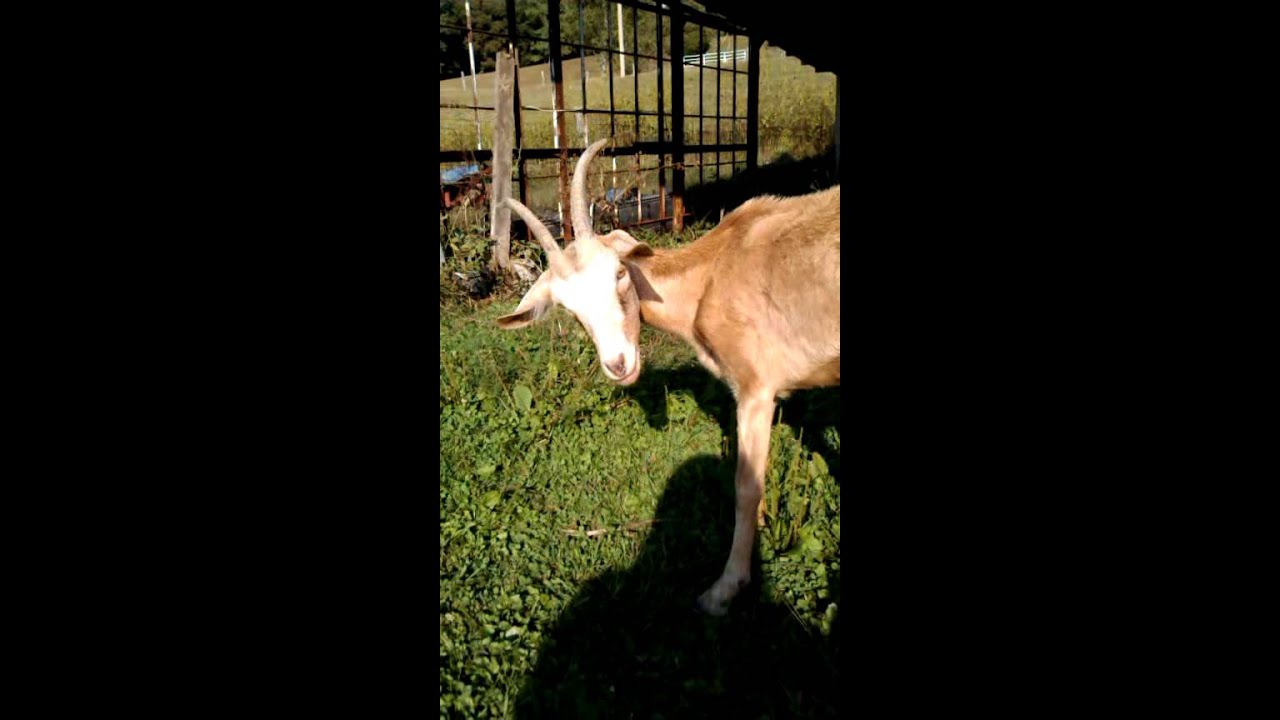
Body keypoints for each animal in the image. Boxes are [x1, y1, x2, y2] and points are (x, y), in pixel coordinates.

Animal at [498, 138, 839, 616]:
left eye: (619, 273)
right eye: (567, 307)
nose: (618, 363)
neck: (710, 274)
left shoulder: (756, 388)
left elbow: (745, 486)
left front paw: (724, 589)